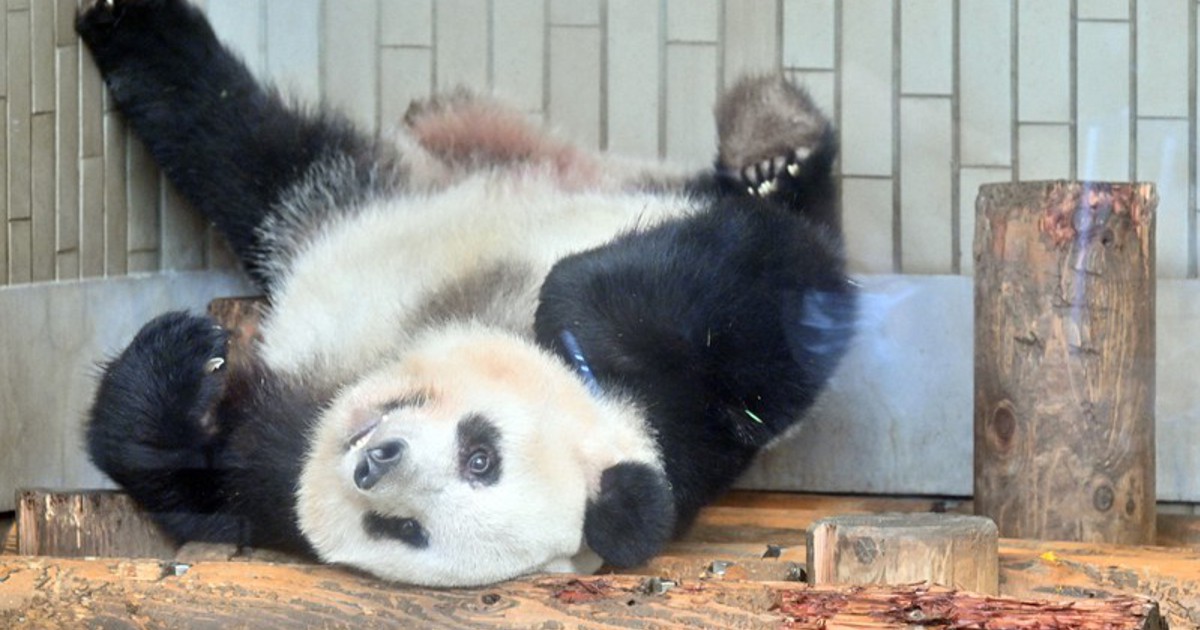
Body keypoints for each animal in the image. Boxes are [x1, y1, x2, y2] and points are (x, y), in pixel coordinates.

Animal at [78, 0, 857, 587]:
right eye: (481, 452)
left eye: (404, 529)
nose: (373, 462)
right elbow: (762, 284)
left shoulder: (278, 469)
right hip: (368, 192)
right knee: (243, 143)